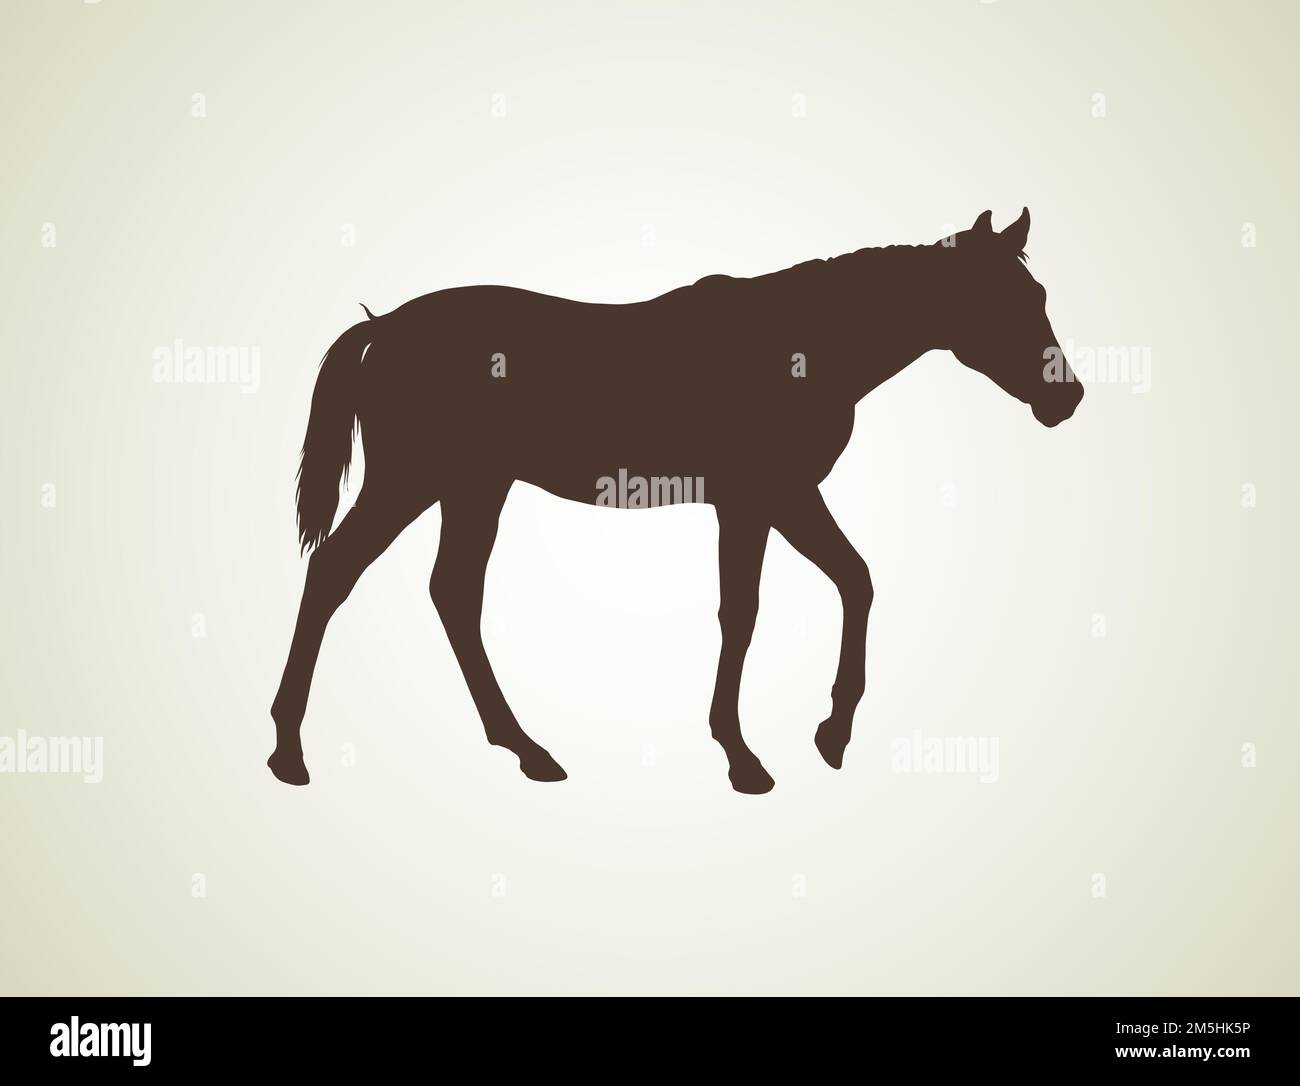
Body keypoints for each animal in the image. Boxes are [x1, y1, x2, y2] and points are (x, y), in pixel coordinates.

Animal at [269, 208, 1082, 794]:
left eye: (1039, 296)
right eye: (999, 301)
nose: (1066, 397)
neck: (805, 344)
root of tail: (382, 329)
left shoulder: (786, 497)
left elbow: (855, 581)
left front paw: (831, 734)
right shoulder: (759, 498)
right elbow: (743, 612)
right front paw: (744, 757)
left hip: (474, 487)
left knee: (452, 595)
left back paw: (527, 750)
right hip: (413, 481)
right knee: (337, 574)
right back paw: (287, 750)